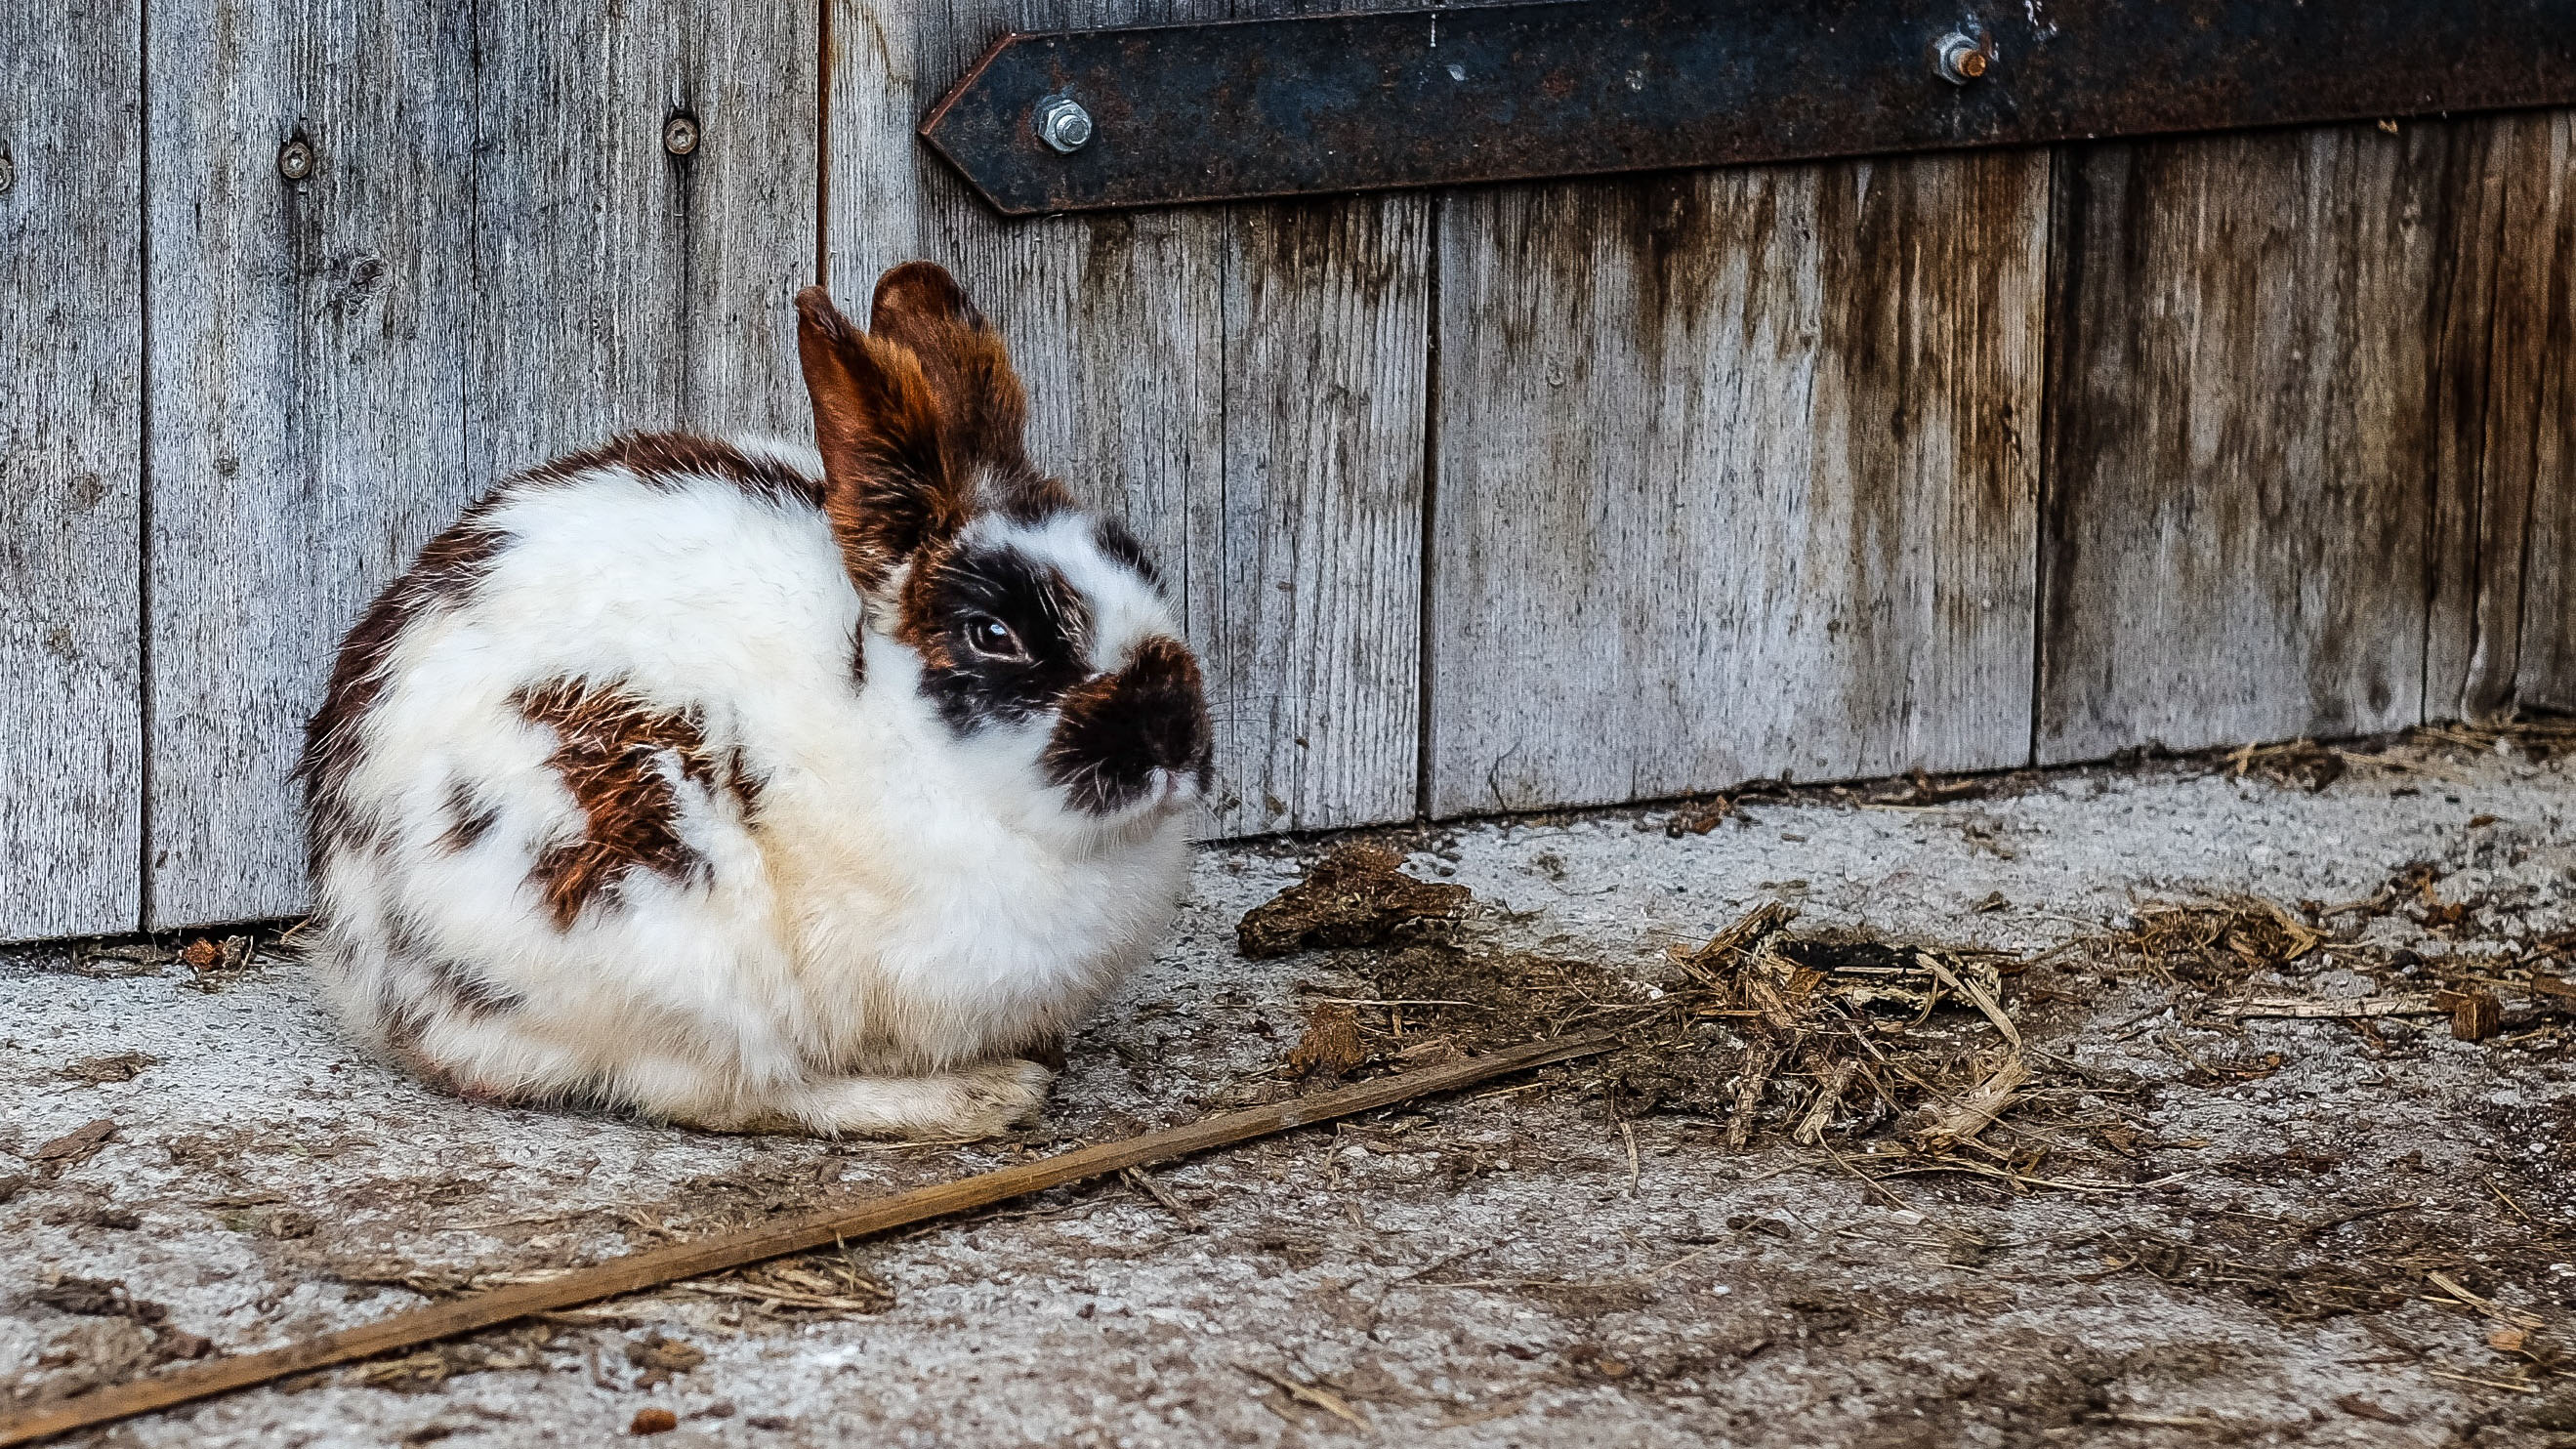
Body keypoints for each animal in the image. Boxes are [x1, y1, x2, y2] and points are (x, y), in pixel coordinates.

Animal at [298, 262, 1214, 1139]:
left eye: (1144, 568)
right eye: (993, 634)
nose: (1174, 737)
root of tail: (368, 959)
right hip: (664, 916)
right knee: (734, 1092)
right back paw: (977, 1098)